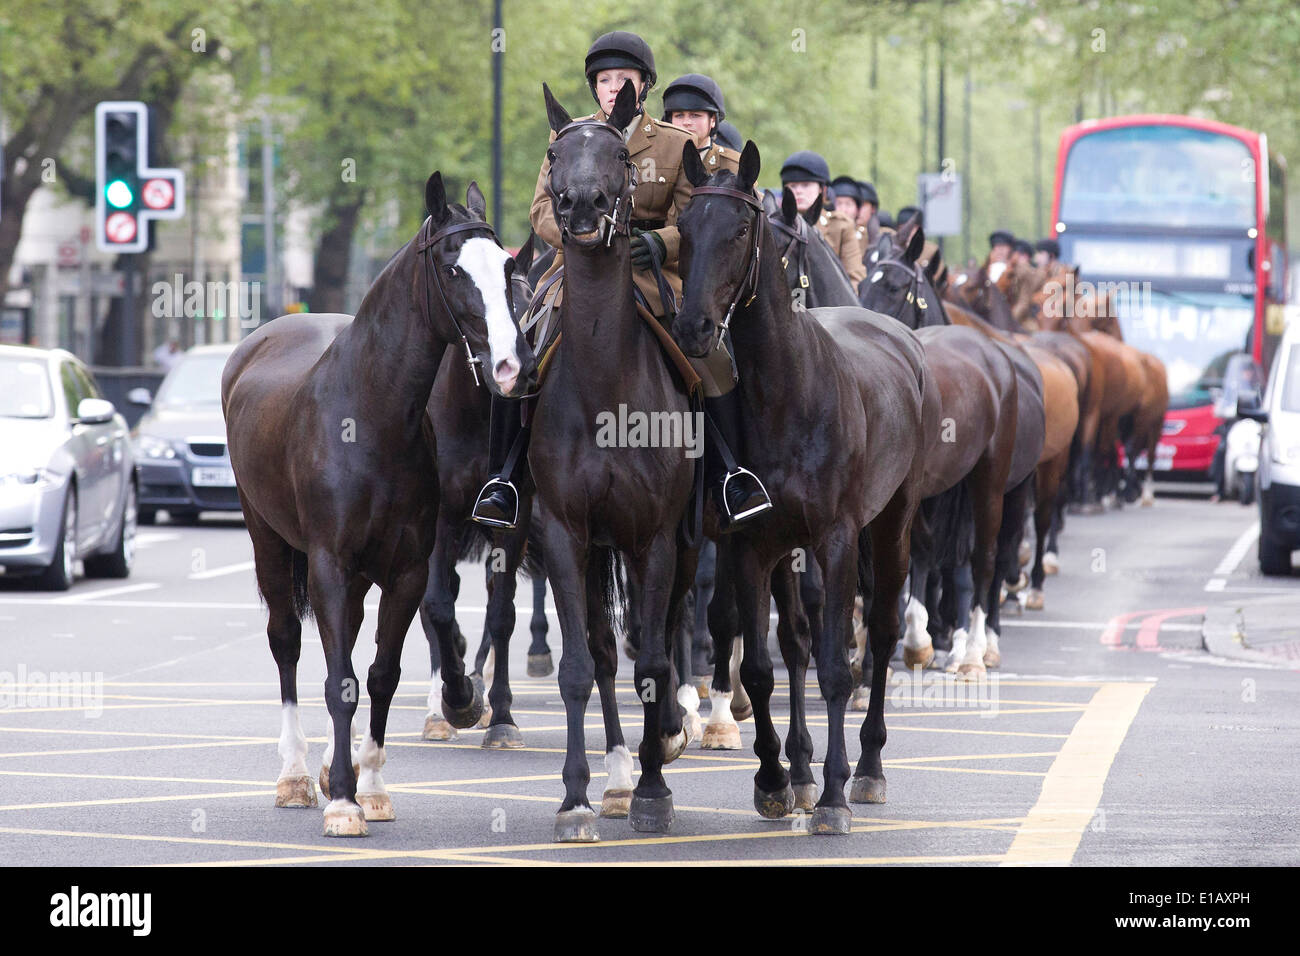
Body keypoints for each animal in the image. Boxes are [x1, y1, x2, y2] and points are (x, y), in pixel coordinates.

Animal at [222, 174, 537, 837]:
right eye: (452, 269)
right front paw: (342, 799)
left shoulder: (406, 567)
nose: (511, 366)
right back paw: (296, 774)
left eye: (507, 270)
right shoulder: (330, 563)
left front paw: (368, 785)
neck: (372, 413)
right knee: (286, 641)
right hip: (268, 537)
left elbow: (382, 673)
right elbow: (340, 678)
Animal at [675, 150, 936, 828]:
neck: (784, 390)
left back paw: (868, 766)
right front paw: (774, 777)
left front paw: (835, 793)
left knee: (881, 629)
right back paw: (798, 767)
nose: (693, 327)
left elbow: (836, 664)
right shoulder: (751, 542)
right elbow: (764, 666)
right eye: (683, 226)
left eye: (740, 230)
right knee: (792, 641)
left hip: (892, 523)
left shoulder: (836, 539)